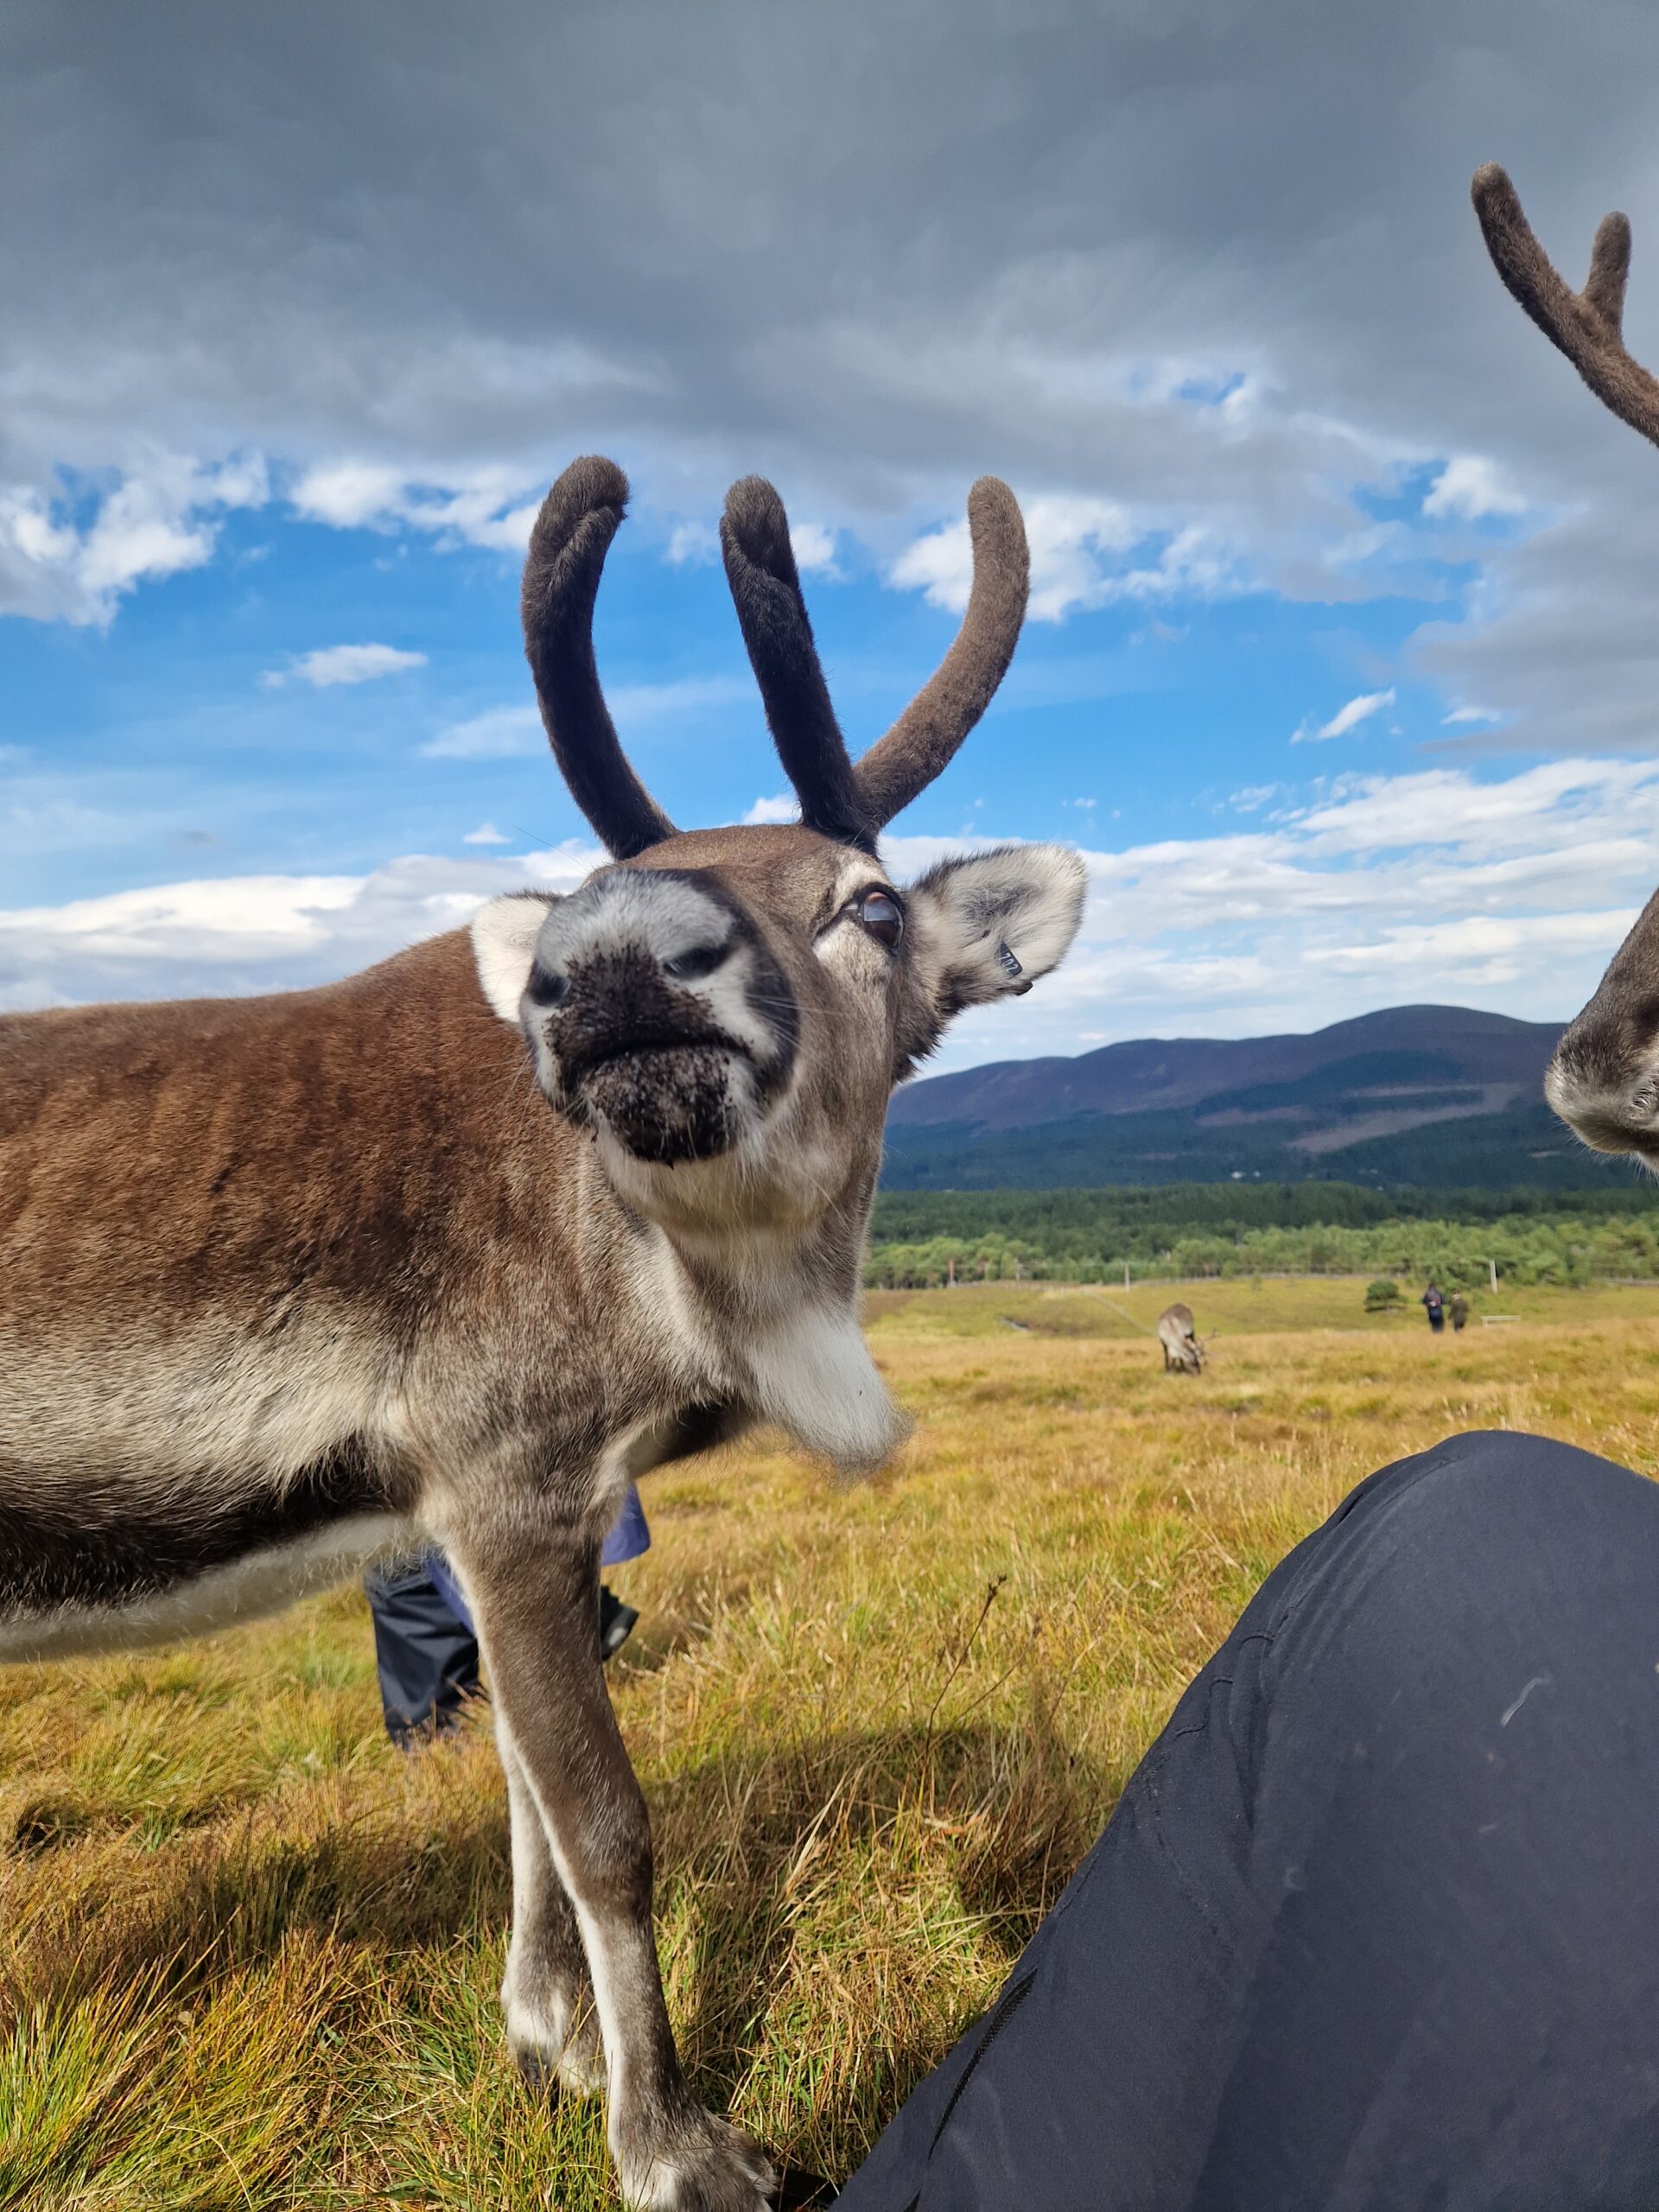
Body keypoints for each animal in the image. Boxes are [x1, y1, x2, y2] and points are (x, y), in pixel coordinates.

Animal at [0, 453, 1085, 2212]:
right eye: (583, 893)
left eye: (865, 902)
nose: (616, 958)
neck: (685, 1274)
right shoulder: (499, 1480)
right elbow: (604, 1823)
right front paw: (671, 2140)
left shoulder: (546, 1505)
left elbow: (520, 1785)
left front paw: (552, 2041)